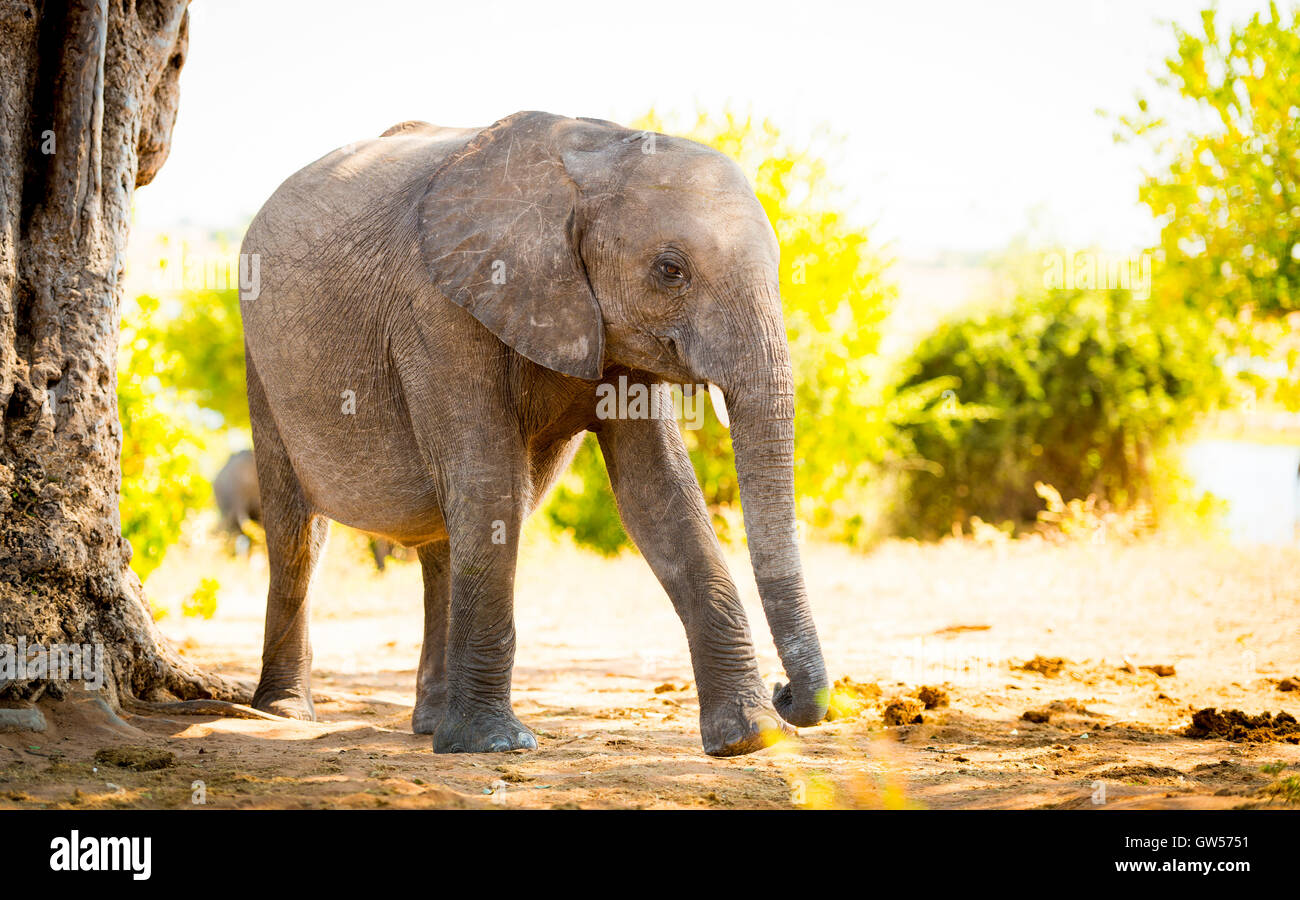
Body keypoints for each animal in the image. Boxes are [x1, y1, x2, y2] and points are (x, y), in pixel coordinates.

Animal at [239, 111, 829, 756]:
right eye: (670, 271)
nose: (786, 692)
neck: (591, 156)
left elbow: (660, 495)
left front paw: (752, 738)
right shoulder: (438, 308)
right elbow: (490, 479)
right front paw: (495, 745)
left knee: (444, 535)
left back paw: (432, 725)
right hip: (261, 362)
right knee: (297, 535)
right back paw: (285, 714)